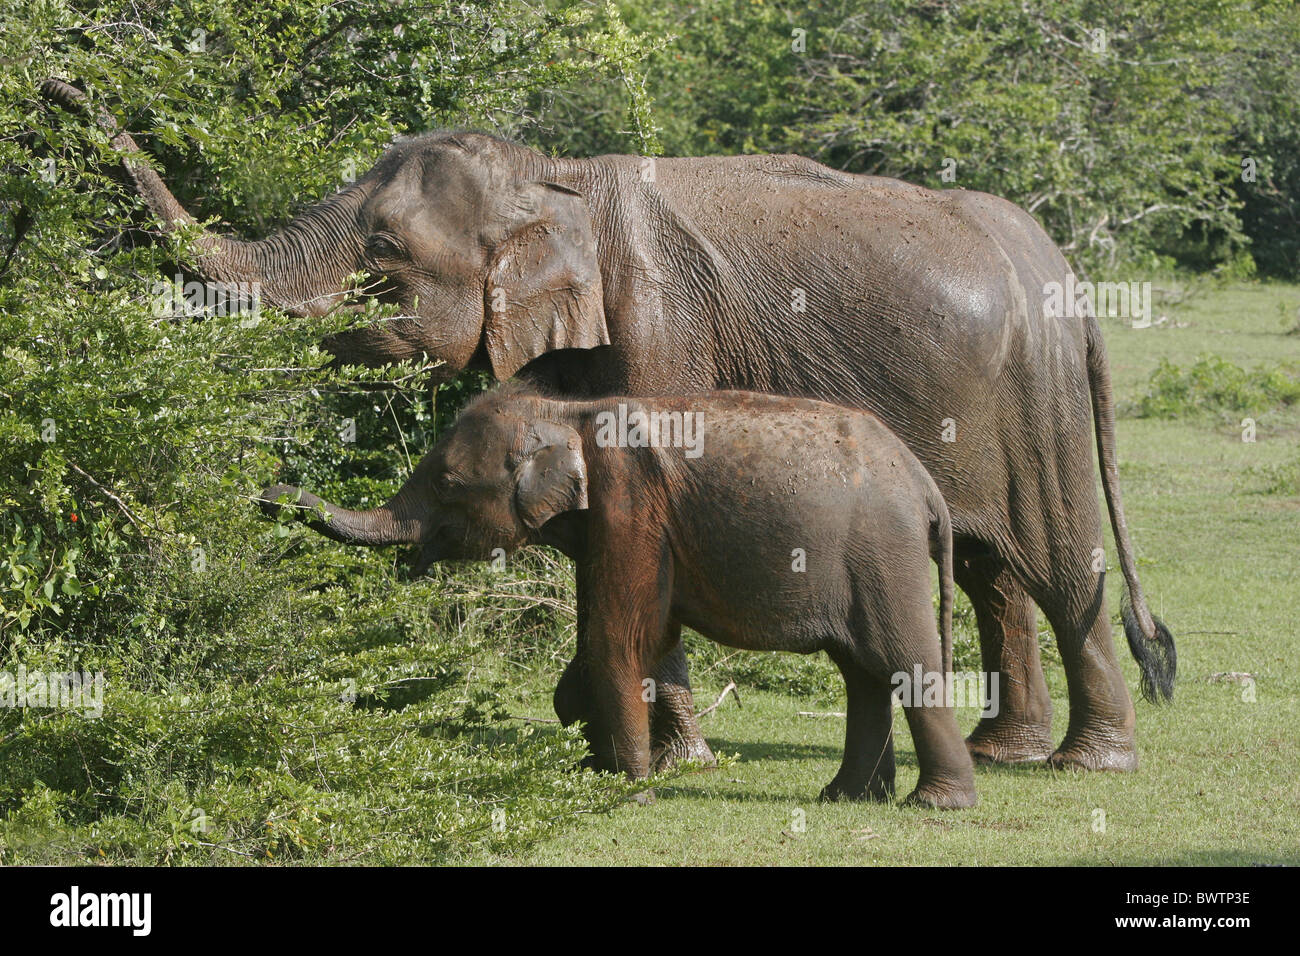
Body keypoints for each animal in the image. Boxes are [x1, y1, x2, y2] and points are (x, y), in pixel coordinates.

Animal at [260, 387, 979, 808]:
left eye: (446, 481)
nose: (267, 495)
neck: (565, 414)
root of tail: (926, 485)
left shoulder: (629, 504)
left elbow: (621, 638)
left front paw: (629, 791)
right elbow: (624, 639)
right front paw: (596, 763)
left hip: (883, 550)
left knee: (903, 661)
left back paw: (934, 806)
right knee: (862, 672)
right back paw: (845, 799)